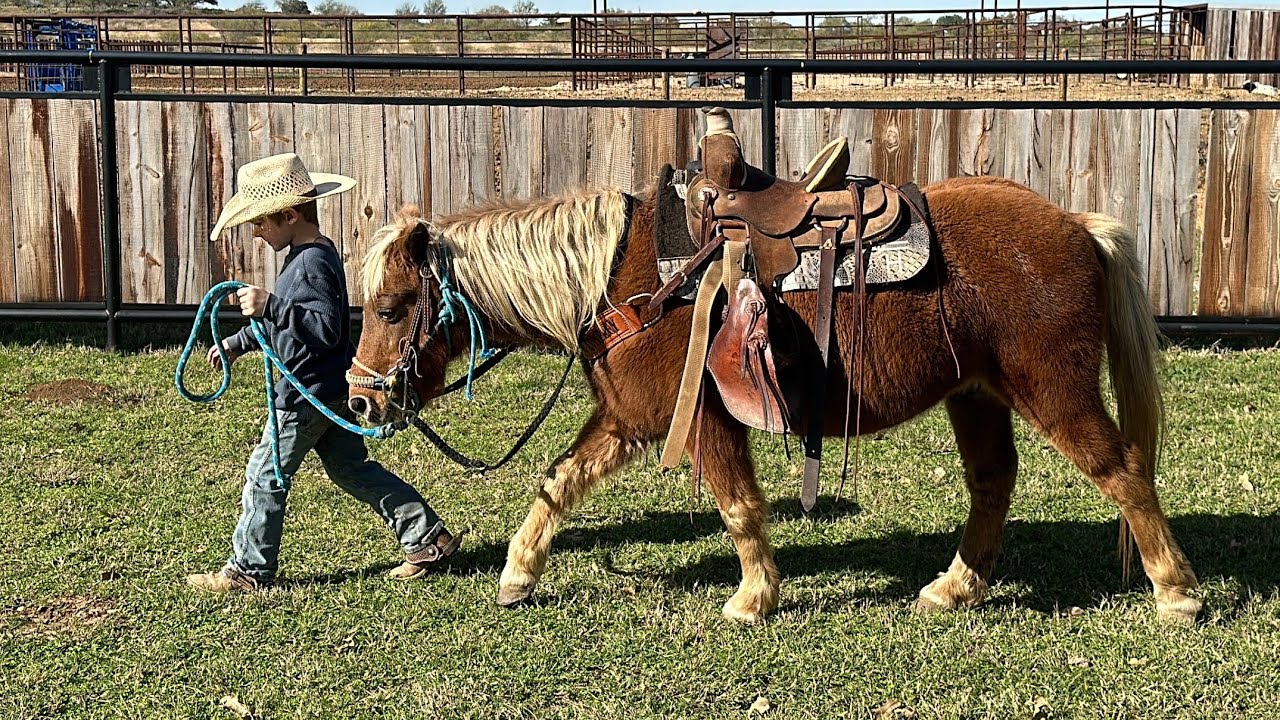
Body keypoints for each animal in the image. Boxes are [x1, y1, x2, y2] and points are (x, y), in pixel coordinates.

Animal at [344, 177, 1200, 625]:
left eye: (389, 307)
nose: (358, 402)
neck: (624, 283)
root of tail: (1074, 223)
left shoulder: (706, 422)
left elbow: (738, 508)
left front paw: (754, 597)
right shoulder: (627, 420)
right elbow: (557, 481)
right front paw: (519, 574)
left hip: (1052, 389)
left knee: (1123, 471)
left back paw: (1177, 593)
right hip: (978, 394)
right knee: (993, 482)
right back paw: (955, 587)